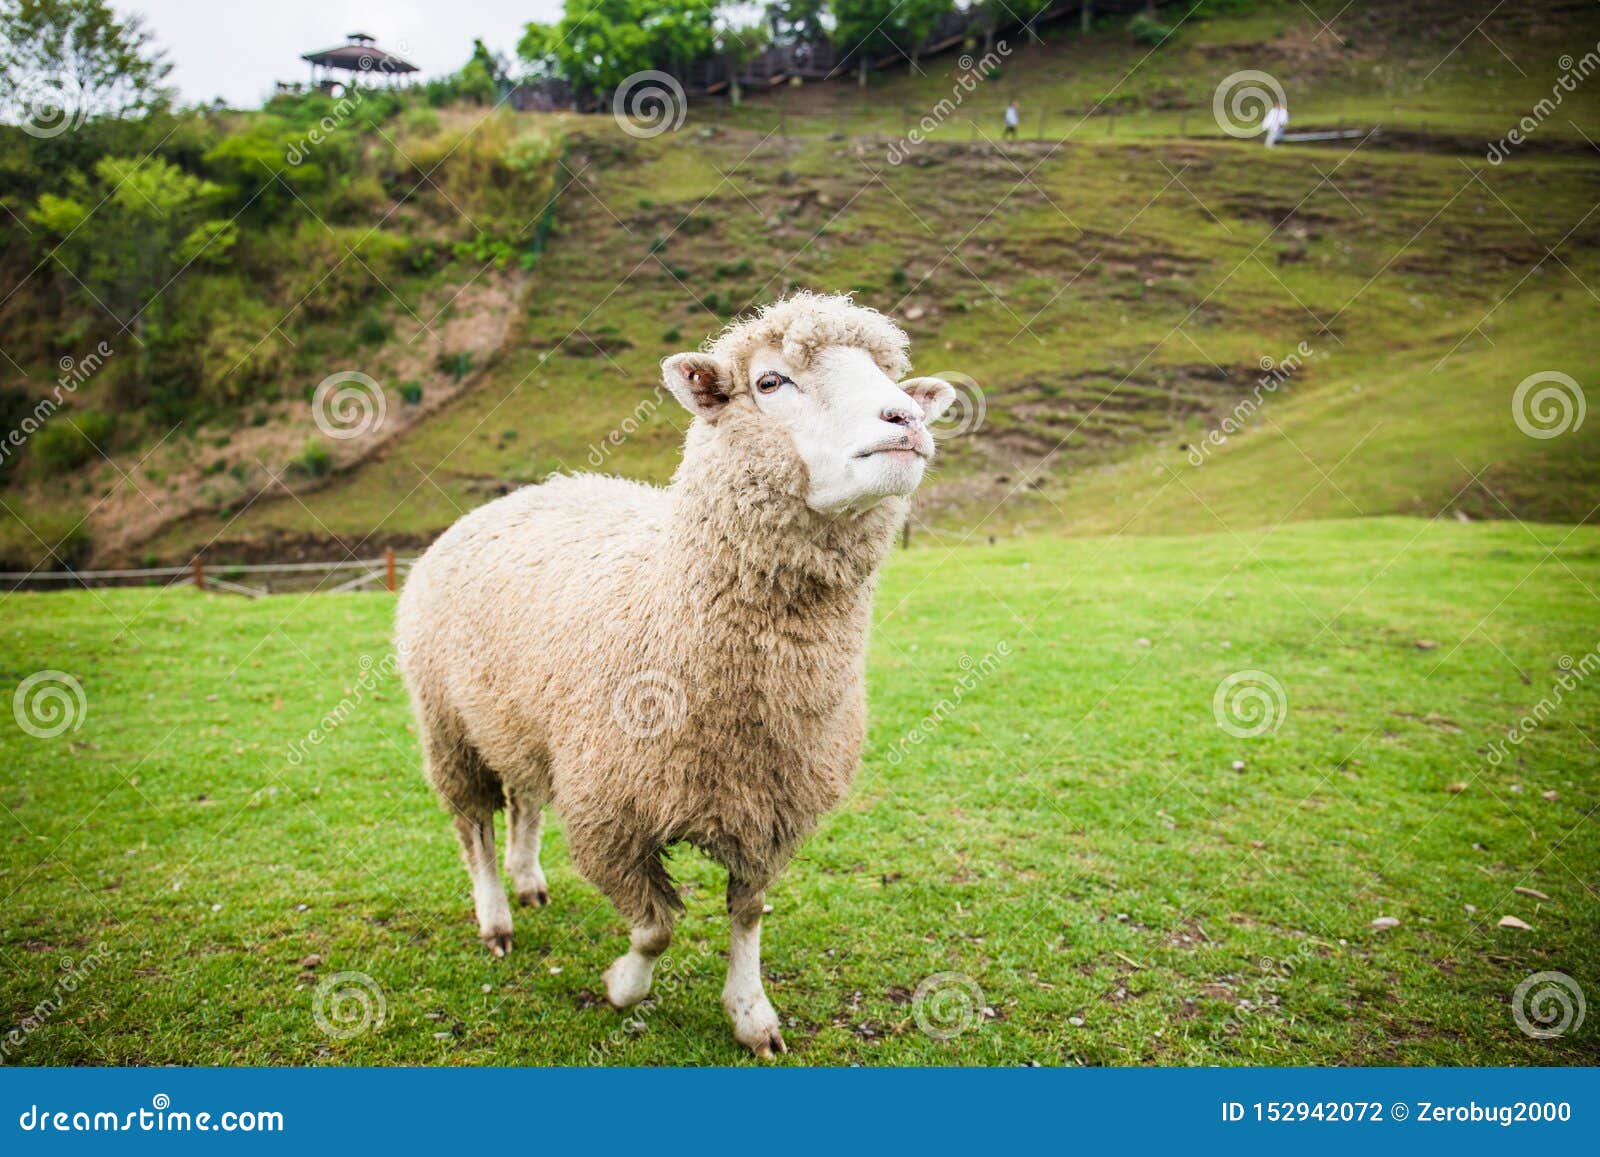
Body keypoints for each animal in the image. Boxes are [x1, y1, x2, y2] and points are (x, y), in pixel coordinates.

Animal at [395, 291, 956, 1056]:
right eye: (771, 381)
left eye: (890, 375)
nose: (906, 419)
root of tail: (518, 495)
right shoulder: (608, 815)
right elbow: (657, 926)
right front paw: (622, 986)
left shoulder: (769, 813)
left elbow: (748, 914)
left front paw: (752, 1014)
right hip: (446, 722)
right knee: (474, 822)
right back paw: (496, 917)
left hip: (520, 717)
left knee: (527, 798)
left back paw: (528, 878)